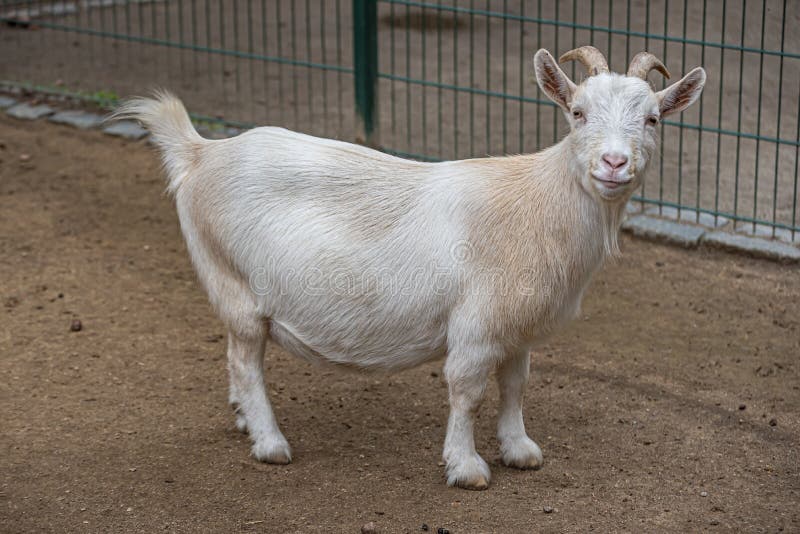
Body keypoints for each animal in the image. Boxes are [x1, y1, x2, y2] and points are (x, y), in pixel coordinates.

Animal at [116, 47, 705, 490]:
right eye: (578, 112)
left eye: (653, 118)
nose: (614, 163)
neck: (537, 202)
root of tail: (198, 153)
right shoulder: (476, 325)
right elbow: (467, 390)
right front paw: (466, 468)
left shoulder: (517, 328)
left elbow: (515, 385)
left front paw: (519, 450)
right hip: (235, 285)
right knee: (246, 361)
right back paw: (270, 442)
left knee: (235, 360)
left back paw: (243, 419)